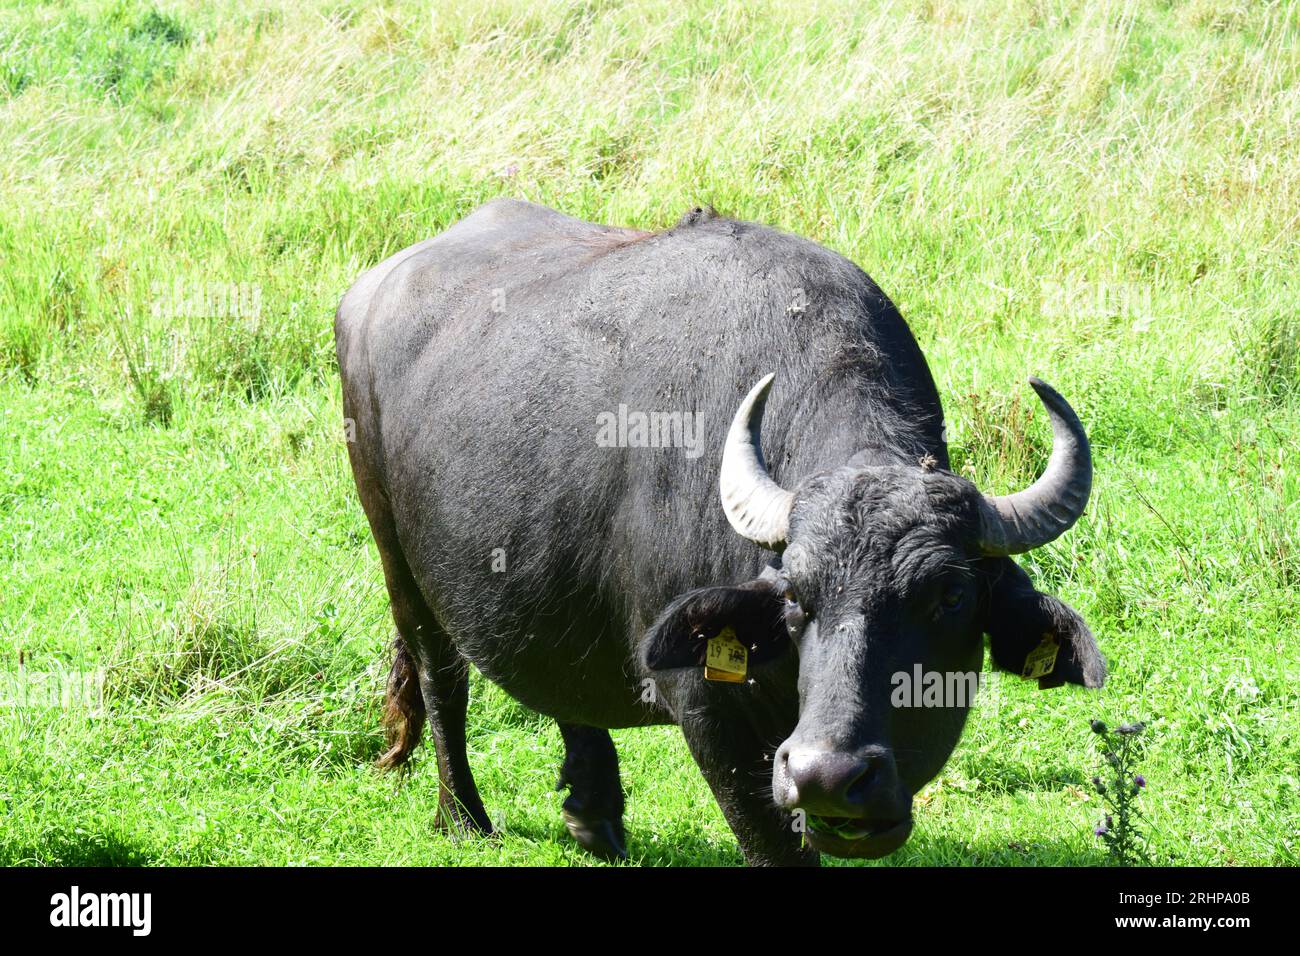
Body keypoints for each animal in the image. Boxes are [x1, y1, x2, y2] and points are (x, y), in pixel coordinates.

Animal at [335, 199, 1104, 865]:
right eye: (795, 597)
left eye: (948, 597)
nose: (828, 774)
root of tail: (368, 289)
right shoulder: (710, 713)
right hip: (399, 562)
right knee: (441, 679)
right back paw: (464, 819)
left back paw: (594, 817)